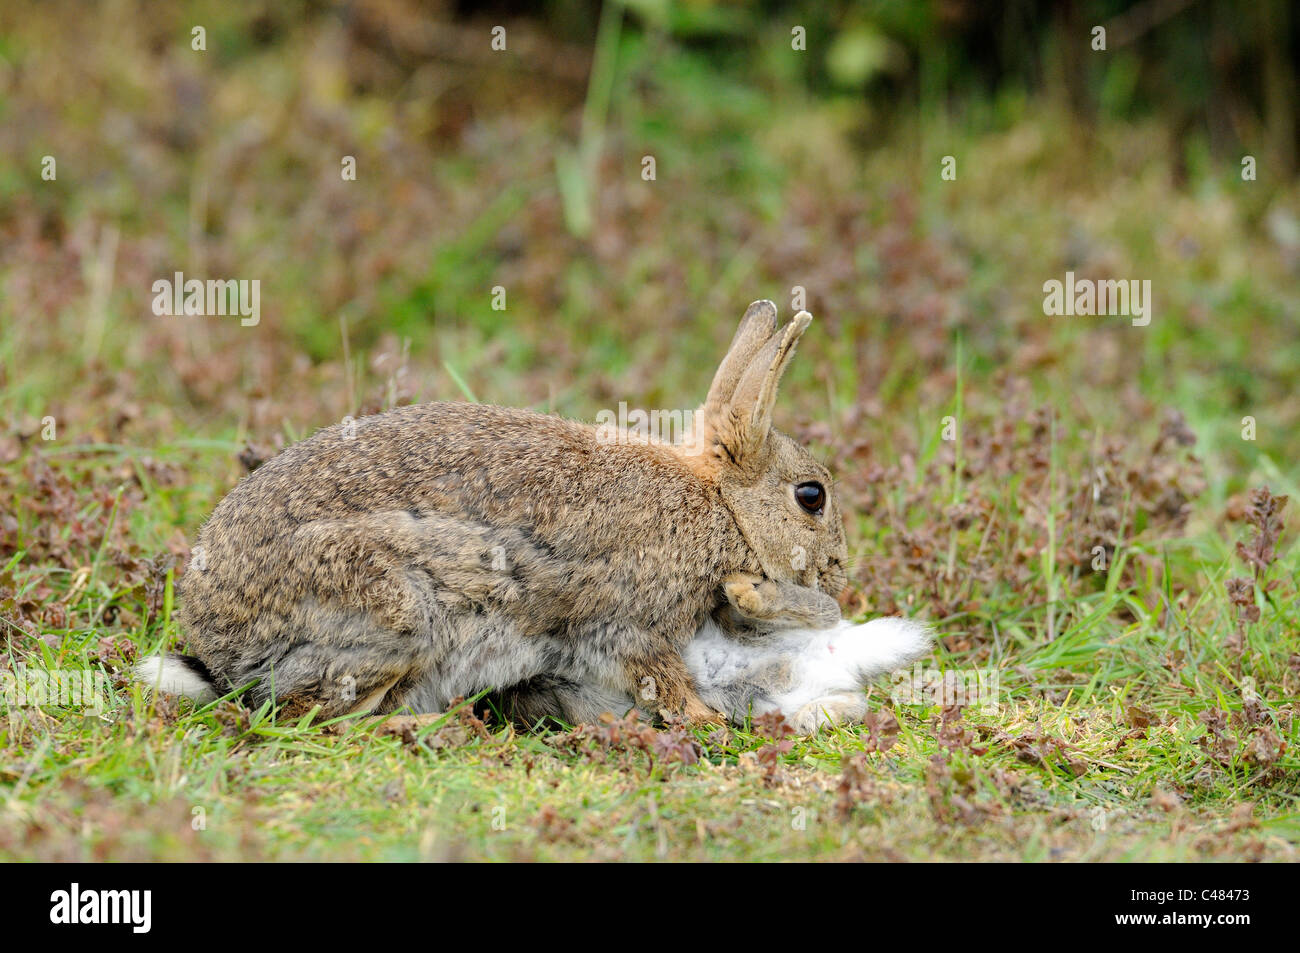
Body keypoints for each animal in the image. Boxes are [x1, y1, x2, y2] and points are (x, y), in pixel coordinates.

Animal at [136, 300, 926, 729]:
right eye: (811, 496)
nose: (838, 570)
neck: (719, 506)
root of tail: (218, 649)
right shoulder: (634, 625)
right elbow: (662, 676)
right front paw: (703, 723)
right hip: (393, 610)